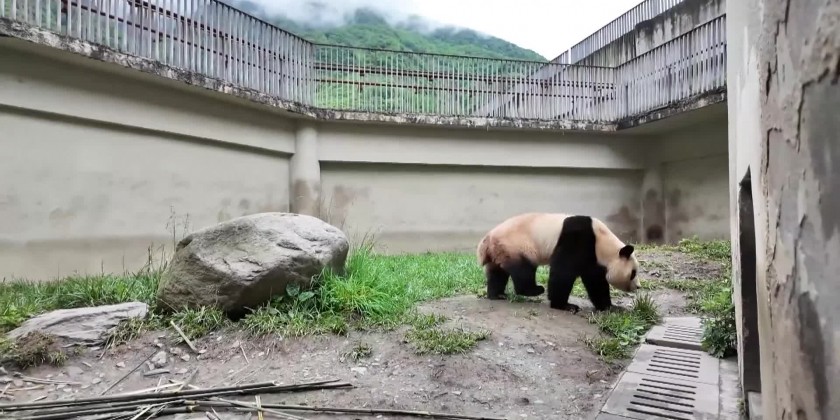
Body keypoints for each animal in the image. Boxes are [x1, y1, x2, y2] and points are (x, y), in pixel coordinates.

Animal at [476, 212, 641, 313]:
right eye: (633, 273)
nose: (638, 287)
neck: (602, 242)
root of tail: (486, 242)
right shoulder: (578, 240)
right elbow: (563, 272)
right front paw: (565, 305)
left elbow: (595, 282)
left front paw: (610, 307)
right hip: (516, 246)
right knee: (524, 269)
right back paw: (534, 290)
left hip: (500, 251)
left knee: (497, 273)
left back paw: (497, 294)